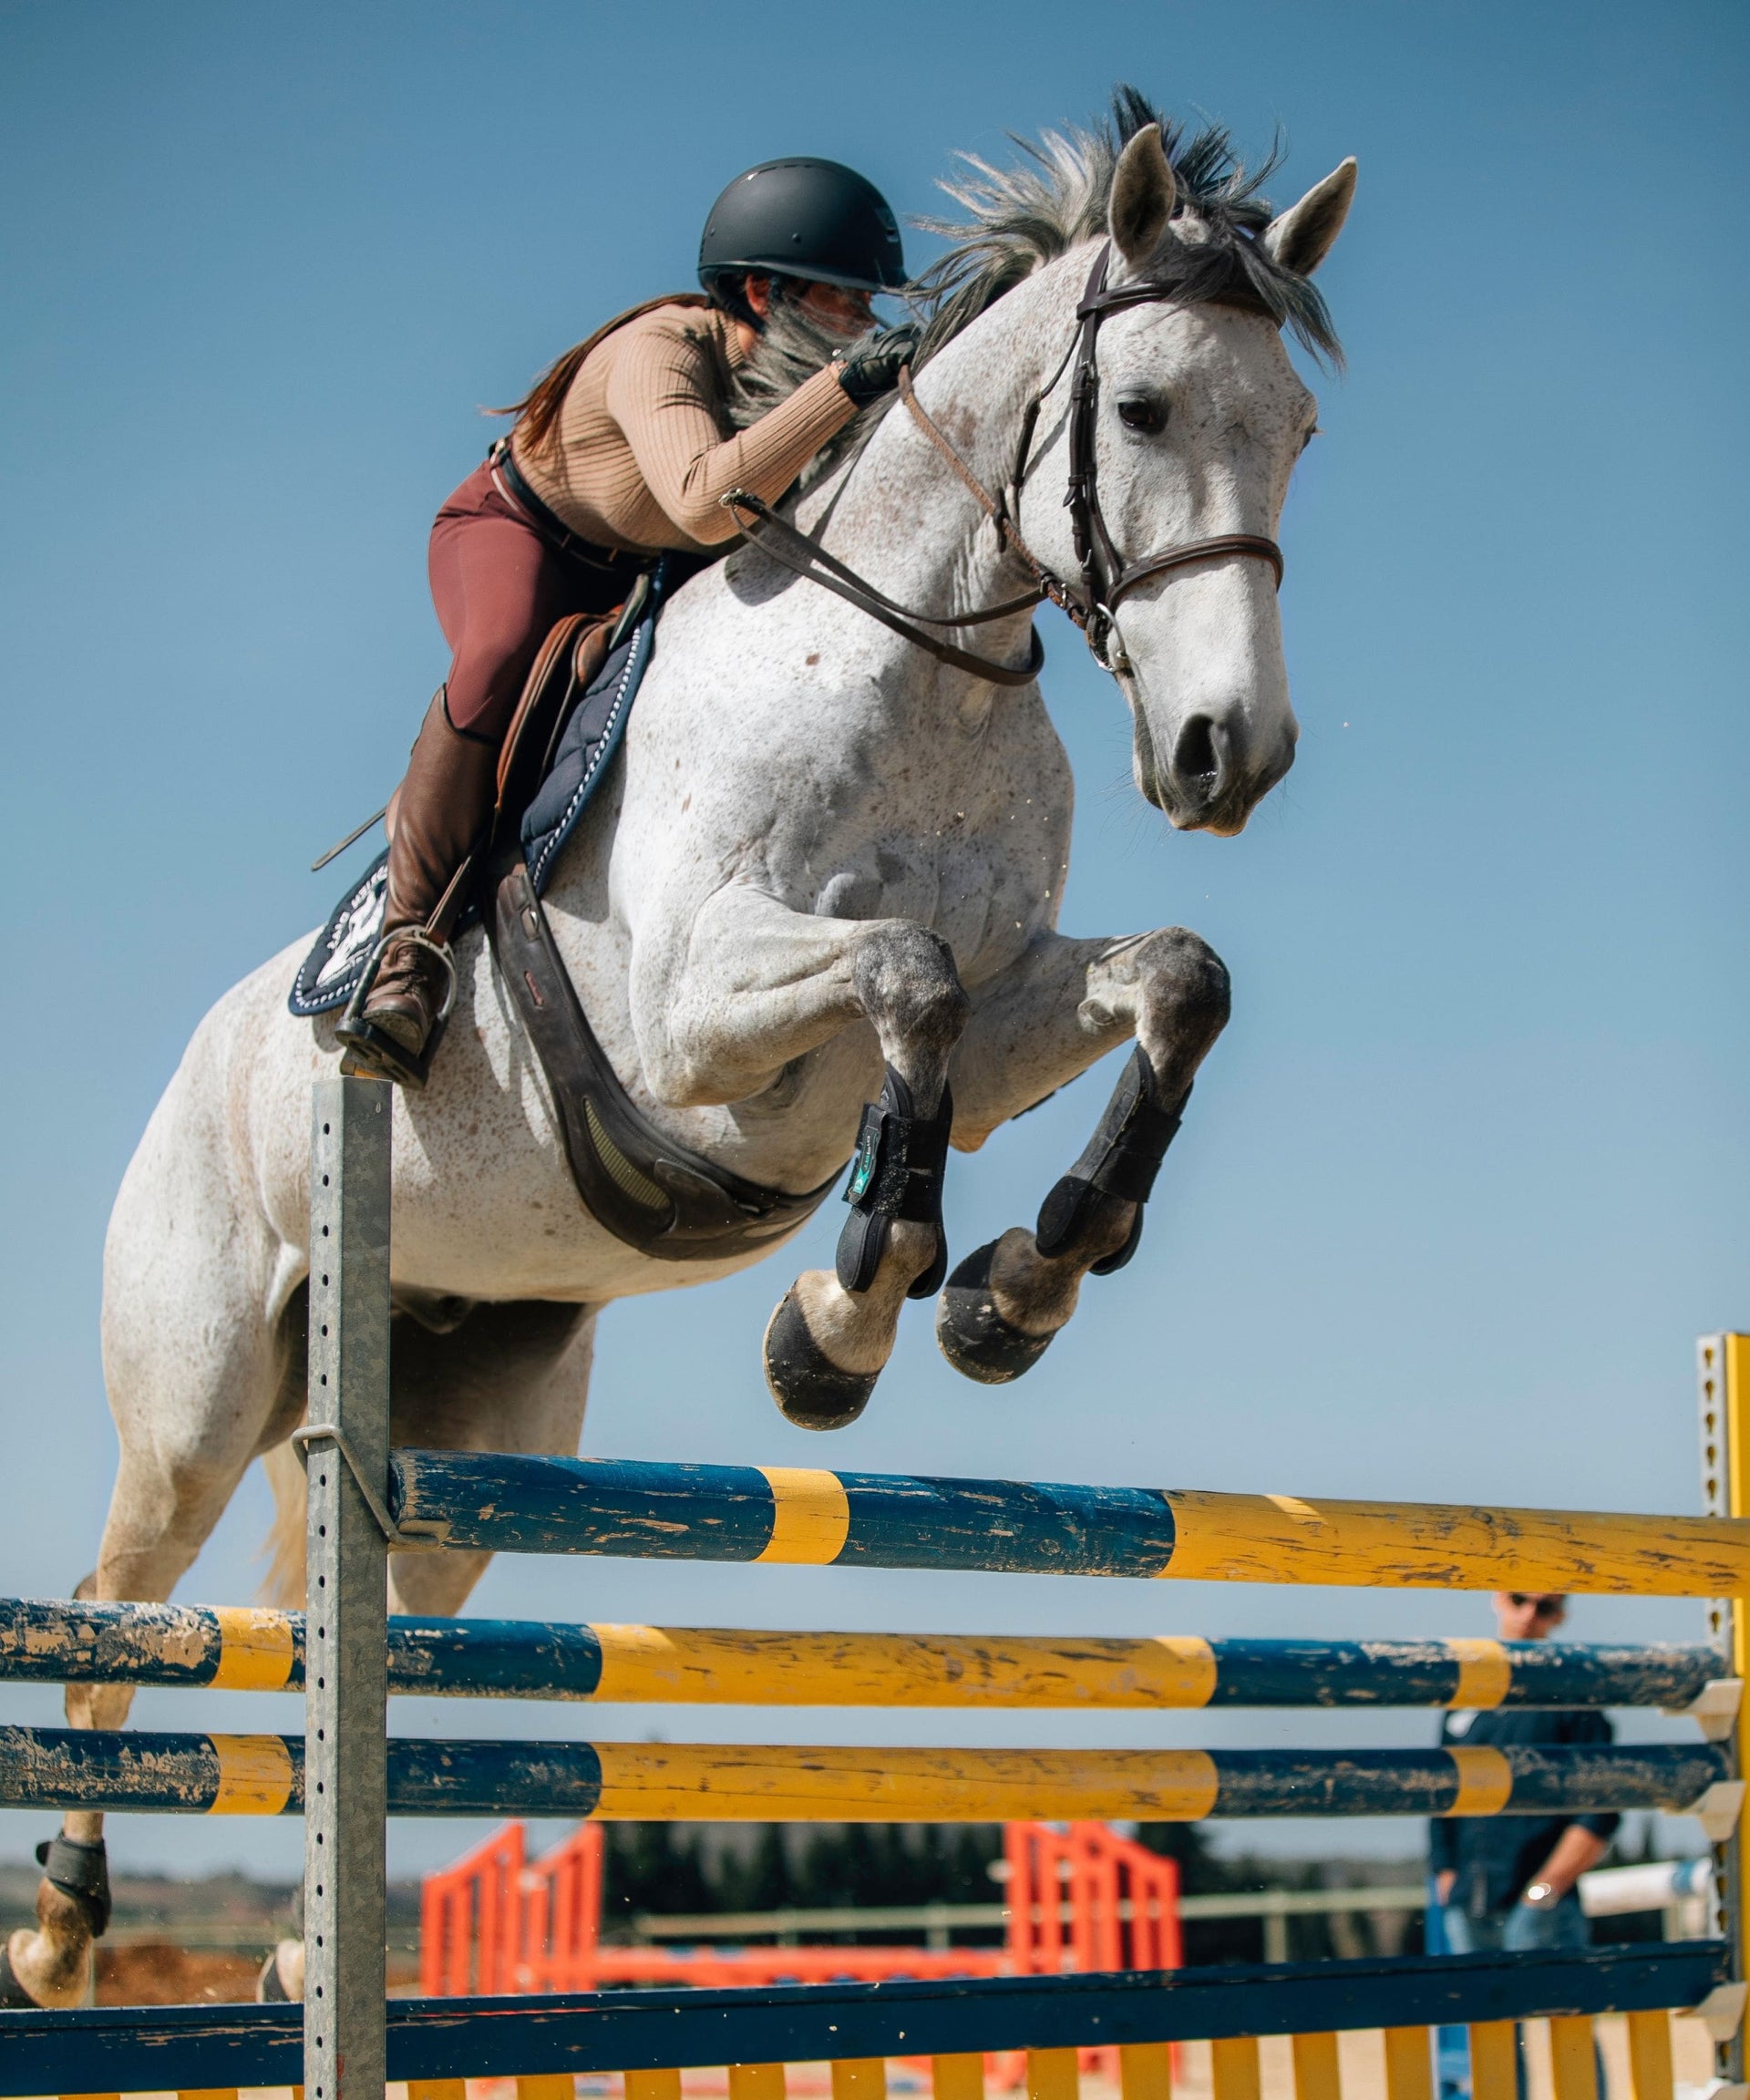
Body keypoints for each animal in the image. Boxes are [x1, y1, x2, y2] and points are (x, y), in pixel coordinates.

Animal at [4, 96, 1354, 2005]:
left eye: (1298, 430)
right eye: (1151, 408)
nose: (1229, 753)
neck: (917, 661)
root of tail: (199, 1059)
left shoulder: (1015, 1003)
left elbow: (1174, 981)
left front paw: (1017, 1281)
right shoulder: (693, 1022)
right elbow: (910, 979)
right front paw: (845, 1321)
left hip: (467, 1450)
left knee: (375, 1639)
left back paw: (292, 1961)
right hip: (191, 1396)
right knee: (125, 1609)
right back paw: (60, 1925)